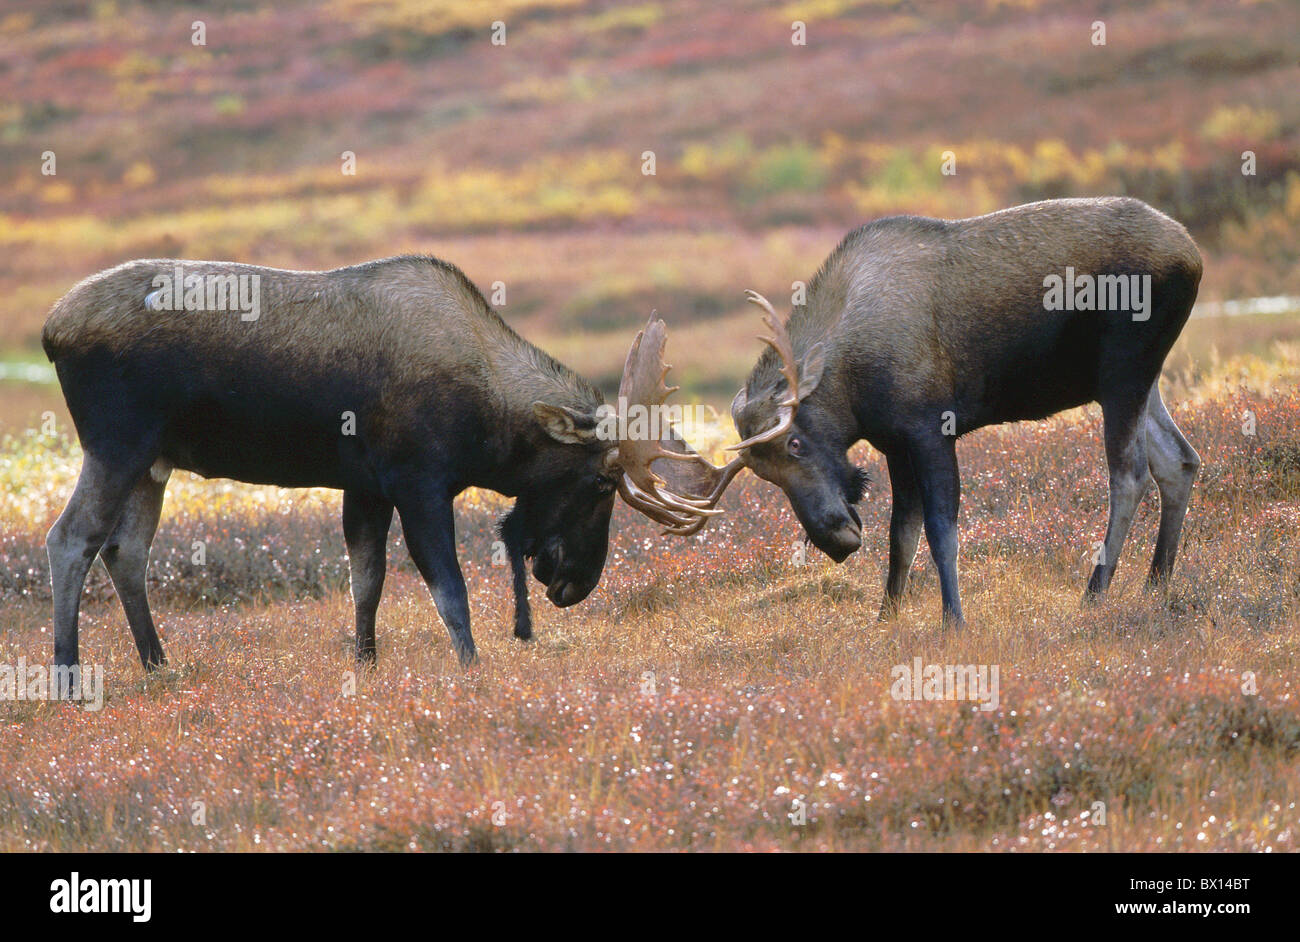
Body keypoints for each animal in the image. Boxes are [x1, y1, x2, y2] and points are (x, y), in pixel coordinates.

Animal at [41, 254, 731, 672]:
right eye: (603, 481)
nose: (576, 582)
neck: (491, 425)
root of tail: (51, 331)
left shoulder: (365, 487)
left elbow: (365, 583)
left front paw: (366, 665)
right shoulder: (418, 481)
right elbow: (448, 589)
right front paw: (472, 670)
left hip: (153, 462)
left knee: (125, 551)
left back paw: (157, 663)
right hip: (116, 443)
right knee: (70, 538)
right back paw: (69, 673)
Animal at [681, 197, 1205, 628]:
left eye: (796, 441)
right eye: (765, 475)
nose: (835, 539)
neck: (852, 383)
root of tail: (1193, 256)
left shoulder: (930, 429)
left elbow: (940, 531)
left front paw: (953, 619)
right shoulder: (894, 444)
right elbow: (901, 535)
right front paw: (886, 618)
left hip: (1124, 370)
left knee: (1130, 475)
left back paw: (1095, 592)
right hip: (1135, 380)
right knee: (1179, 460)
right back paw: (1156, 583)